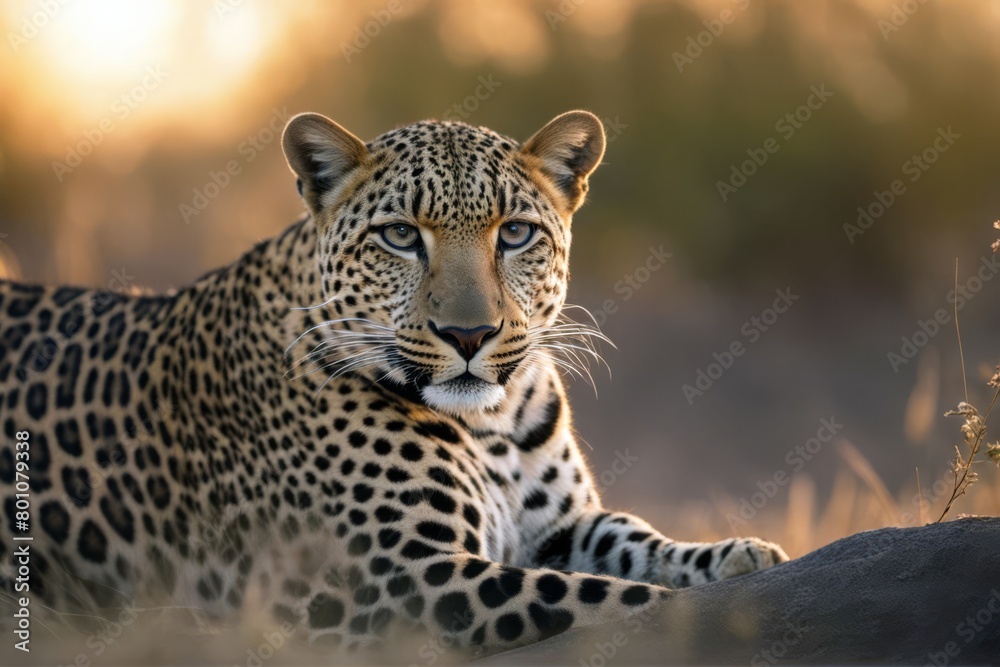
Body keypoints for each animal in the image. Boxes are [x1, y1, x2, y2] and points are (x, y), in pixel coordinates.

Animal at [0, 110, 787, 656]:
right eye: (402, 236)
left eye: (516, 233)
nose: (469, 335)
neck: (495, 424)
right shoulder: (397, 580)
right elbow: (612, 599)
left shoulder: (559, 527)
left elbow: (634, 539)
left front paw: (739, 556)